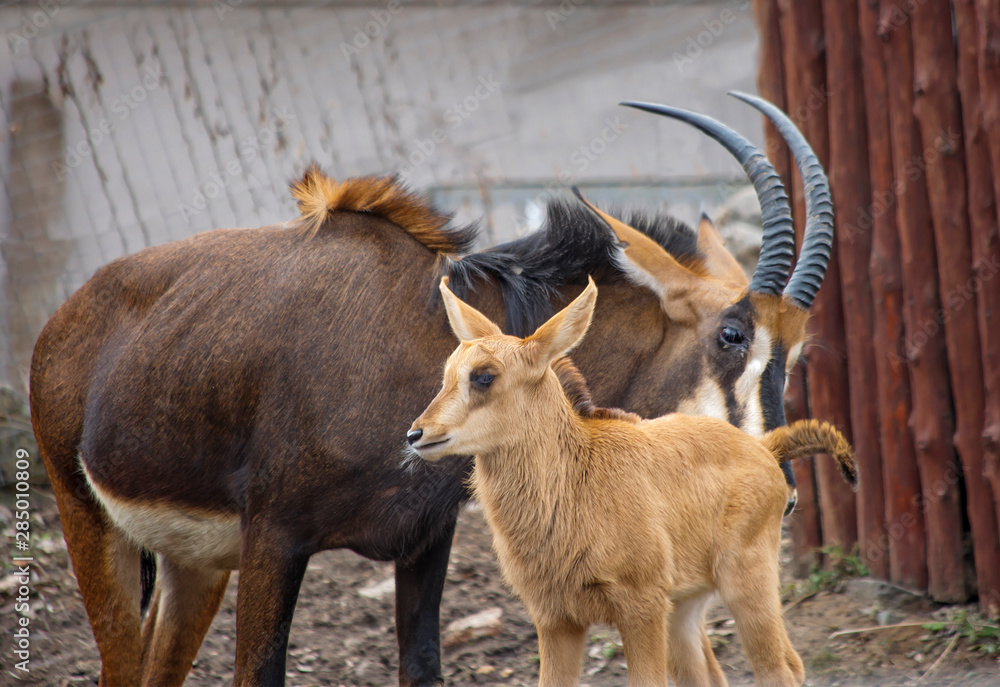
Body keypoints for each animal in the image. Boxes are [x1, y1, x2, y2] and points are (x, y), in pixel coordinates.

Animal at [408, 277, 857, 687]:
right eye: (448, 373)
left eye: (484, 376)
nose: (416, 435)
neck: (576, 482)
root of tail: (766, 448)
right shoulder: (555, 619)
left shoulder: (640, 610)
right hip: (683, 608)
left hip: (747, 583)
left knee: (781, 669)